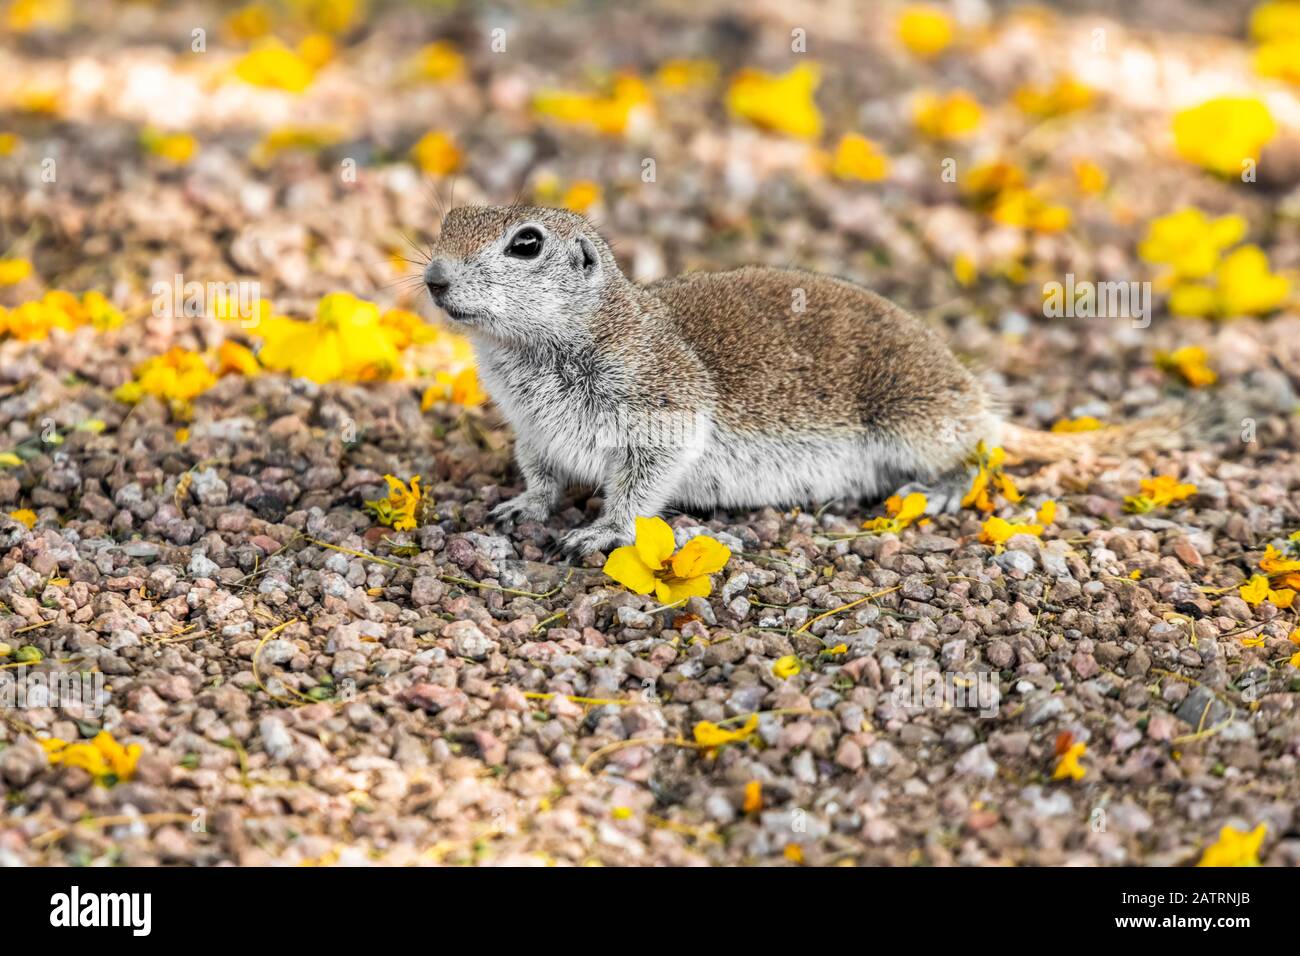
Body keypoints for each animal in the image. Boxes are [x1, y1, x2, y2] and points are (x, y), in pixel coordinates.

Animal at [422, 204, 1180, 559]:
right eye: (448, 221)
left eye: (526, 243)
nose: (432, 278)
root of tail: (970, 396)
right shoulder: (532, 432)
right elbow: (542, 476)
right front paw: (522, 506)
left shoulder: (662, 407)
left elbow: (643, 483)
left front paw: (602, 532)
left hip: (916, 423)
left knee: (978, 455)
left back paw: (935, 490)